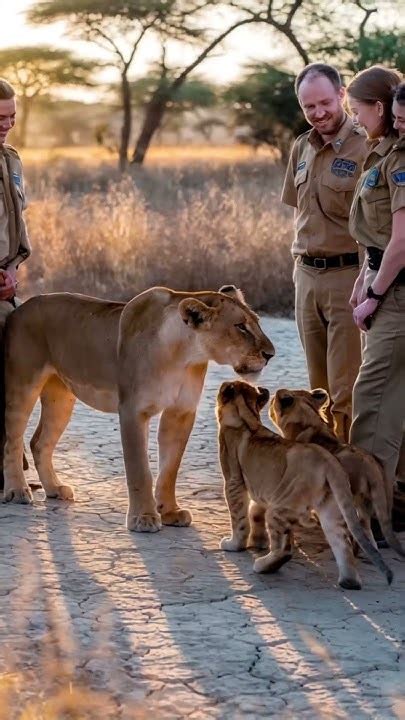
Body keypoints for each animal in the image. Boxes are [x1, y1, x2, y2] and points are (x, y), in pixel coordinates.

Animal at [2, 285, 275, 533]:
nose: (270, 354)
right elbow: (139, 469)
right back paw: (17, 491)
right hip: (22, 385)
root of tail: (20, 308)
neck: (186, 355)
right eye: (240, 326)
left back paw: (54, 489)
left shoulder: (181, 412)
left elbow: (170, 468)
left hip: (61, 397)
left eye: (257, 323)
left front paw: (170, 512)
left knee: (39, 442)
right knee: (12, 439)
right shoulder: (132, 410)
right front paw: (143, 518)